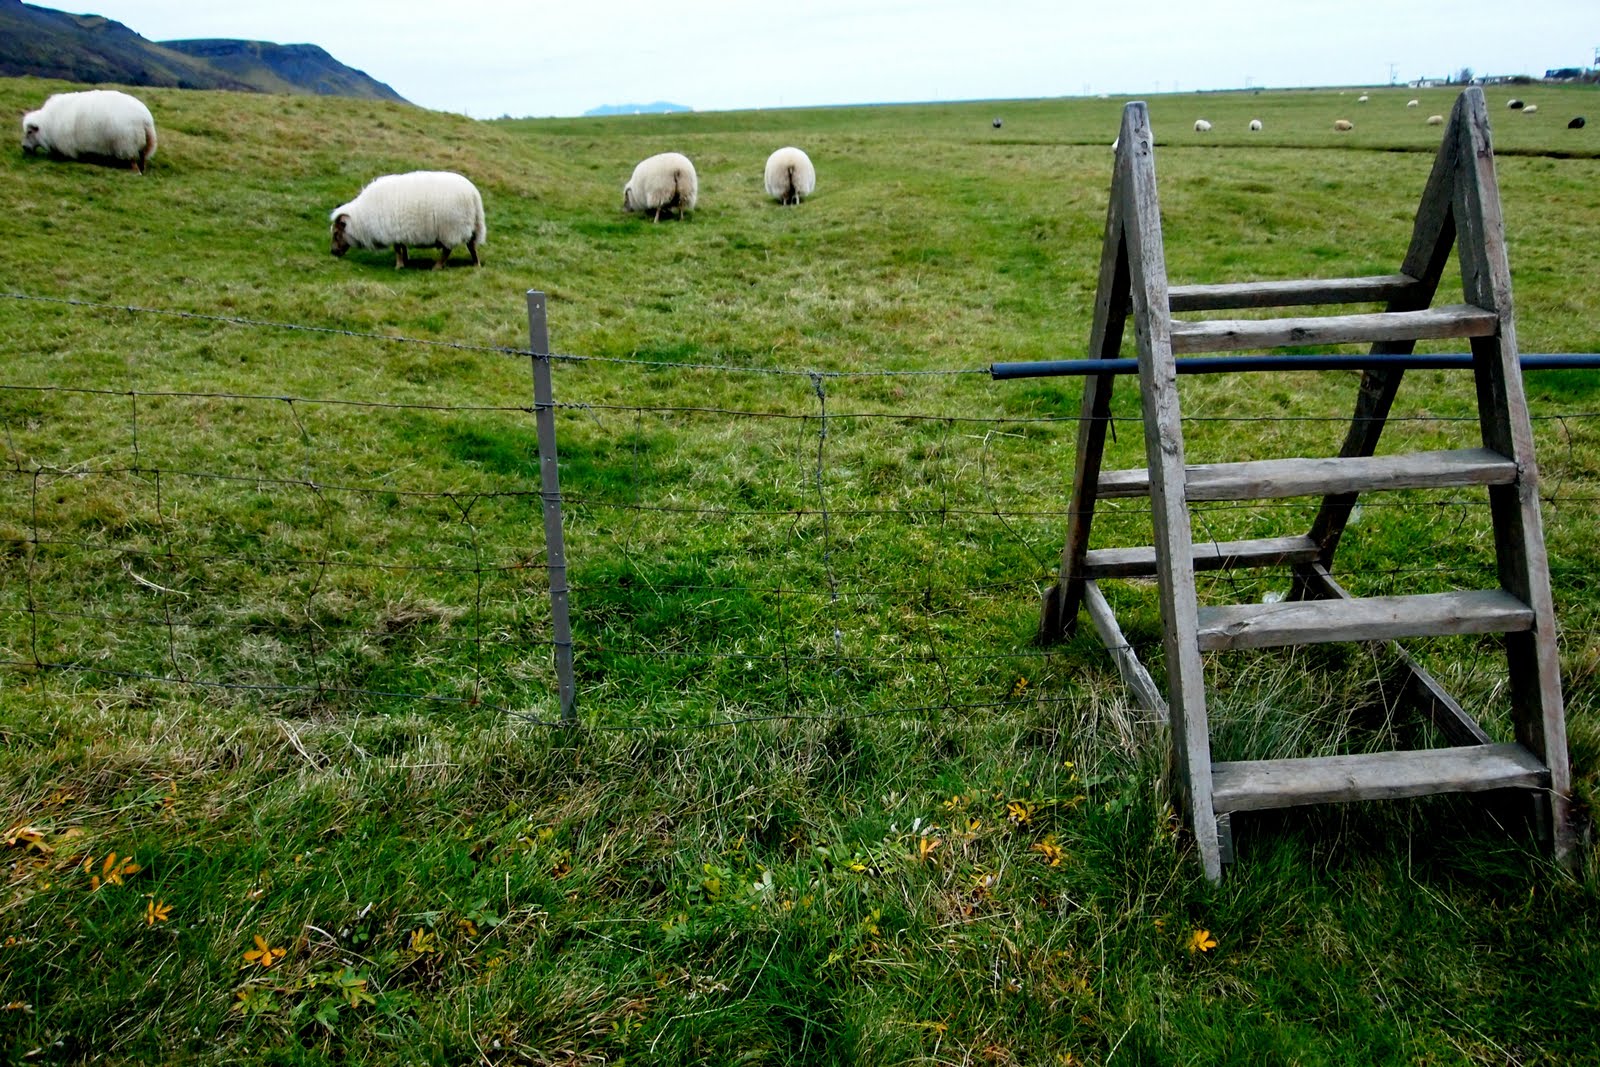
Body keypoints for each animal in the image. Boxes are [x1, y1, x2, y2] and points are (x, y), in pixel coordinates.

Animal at [20, 89, 156, 173]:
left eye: (29, 132)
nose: (24, 147)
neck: (47, 124)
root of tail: (145, 119)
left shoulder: (67, 145)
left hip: (127, 144)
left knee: (133, 162)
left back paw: (135, 172)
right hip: (143, 144)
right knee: (143, 158)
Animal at [329, 170, 485, 269]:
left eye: (336, 233)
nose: (333, 252)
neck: (361, 218)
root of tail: (473, 194)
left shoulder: (392, 231)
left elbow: (397, 249)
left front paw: (399, 266)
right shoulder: (400, 230)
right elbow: (402, 247)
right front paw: (406, 260)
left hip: (450, 228)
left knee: (447, 249)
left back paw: (437, 266)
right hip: (471, 226)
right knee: (472, 245)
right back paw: (476, 264)